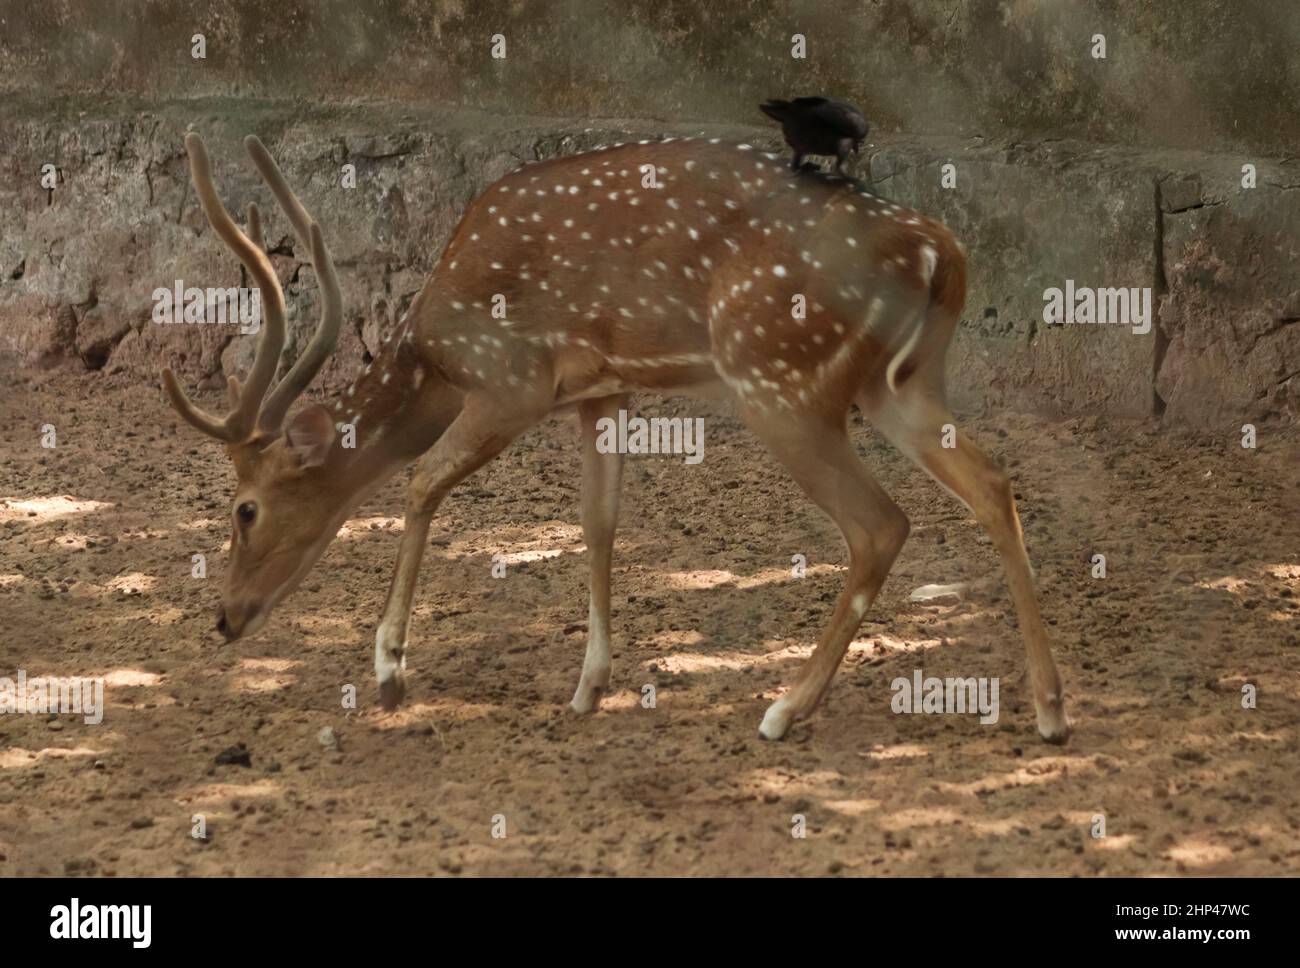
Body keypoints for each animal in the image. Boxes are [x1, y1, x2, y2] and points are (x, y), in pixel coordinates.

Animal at [162, 131, 1070, 743]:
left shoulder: (512, 378)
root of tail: (939, 250)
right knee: (993, 484)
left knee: (881, 522)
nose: (225, 619)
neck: (436, 349)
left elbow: (421, 485)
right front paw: (590, 685)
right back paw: (1051, 711)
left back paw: (784, 709)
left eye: (244, 509)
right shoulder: (601, 391)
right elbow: (599, 522)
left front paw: (389, 667)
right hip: (901, 383)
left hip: (780, 381)